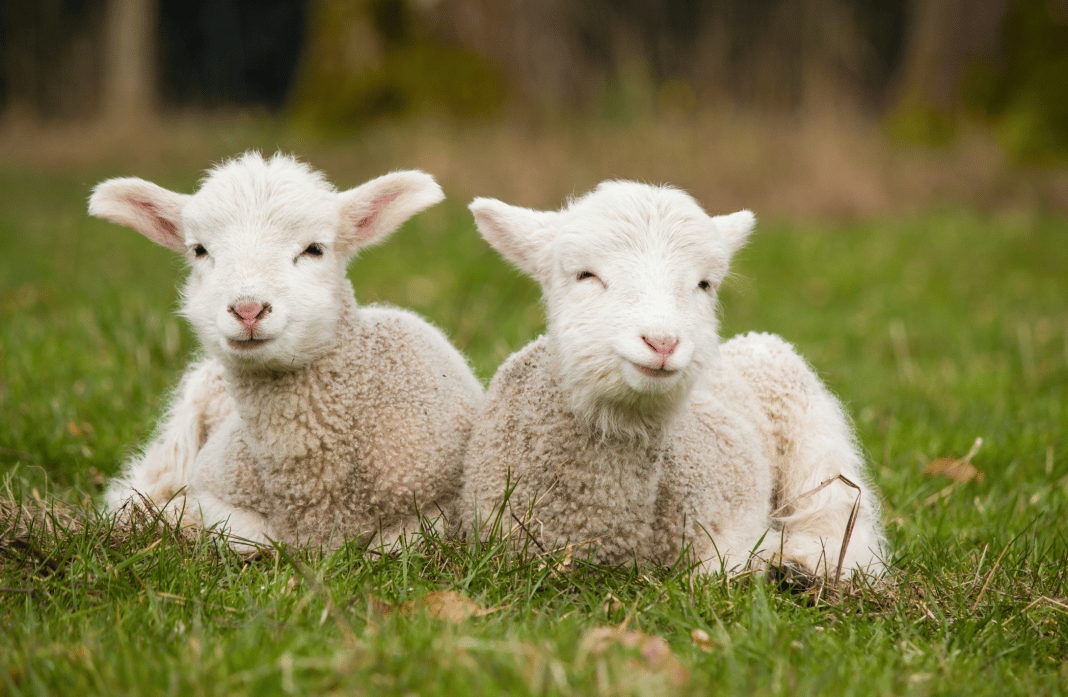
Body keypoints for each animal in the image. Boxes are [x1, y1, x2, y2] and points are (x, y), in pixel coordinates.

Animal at [91, 152, 484, 549]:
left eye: (315, 249)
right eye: (199, 250)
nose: (248, 310)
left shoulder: (439, 505)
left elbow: (392, 546)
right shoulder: (214, 491)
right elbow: (250, 535)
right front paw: (182, 519)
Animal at [458, 181, 887, 579]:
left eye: (704, 284)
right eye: (585, 275)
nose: (662, 342)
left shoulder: (730, 517)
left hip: (807, 425)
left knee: (837, 512)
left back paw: (806, 564)